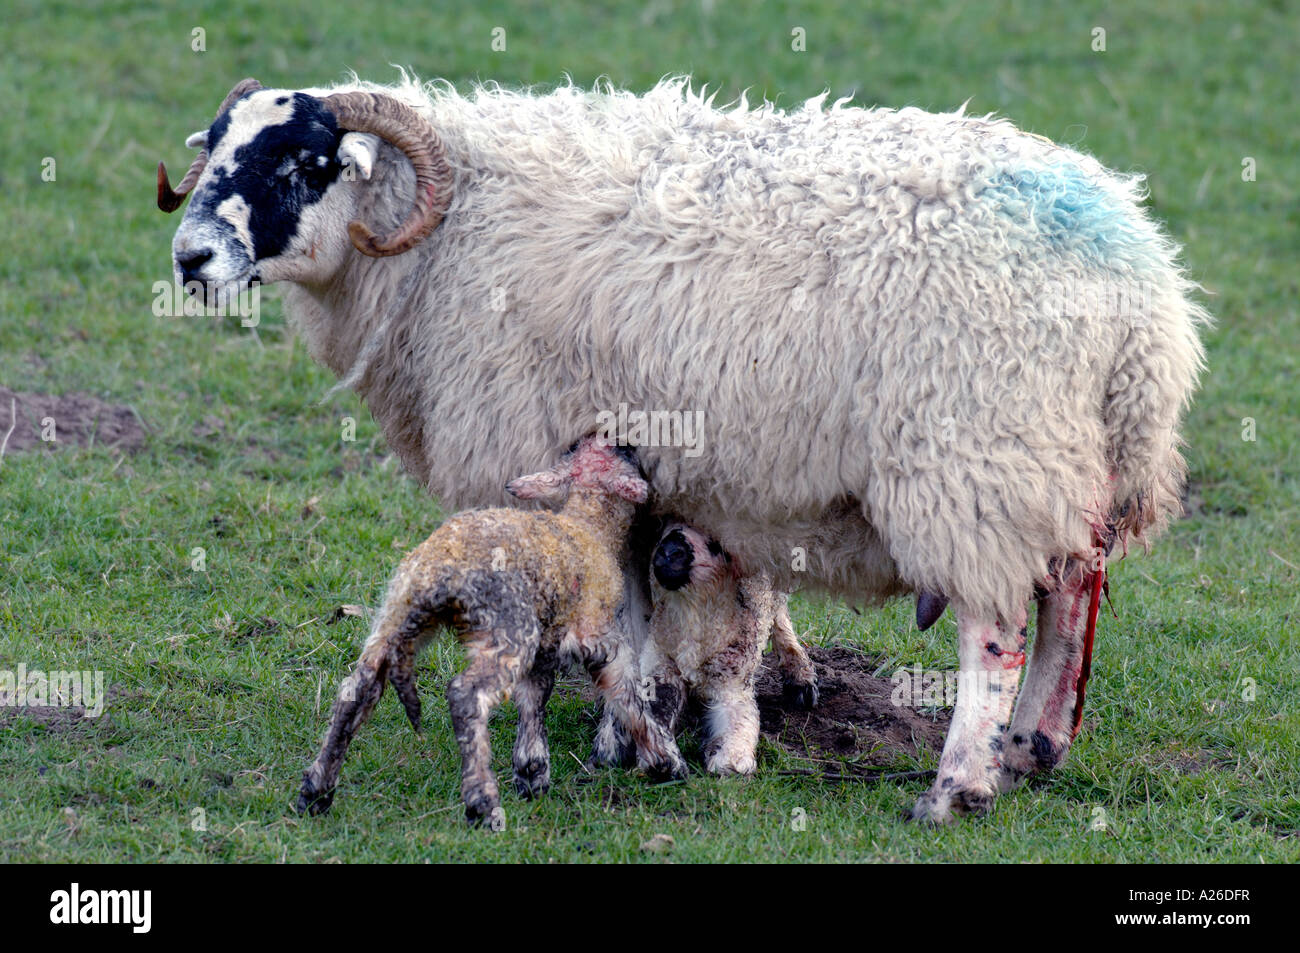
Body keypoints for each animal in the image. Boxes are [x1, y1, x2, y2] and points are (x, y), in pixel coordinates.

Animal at [296, 436, 686, 826]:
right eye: (627, 453)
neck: (588, 525)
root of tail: (445, 565)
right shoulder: (600, 638)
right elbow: (629, 696)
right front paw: (665, 762)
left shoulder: (545, 645)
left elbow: (534, 699)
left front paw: (531, 773)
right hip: (506, 627)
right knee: (467, 696)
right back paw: (482, 801)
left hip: (396, 613)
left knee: (356, 690)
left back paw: (316, 791)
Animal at [644, 522, 817, 775]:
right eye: (663, 529)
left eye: (716, 544)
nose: (669, 551)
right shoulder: (660, 659)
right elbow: (654, 703)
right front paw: (661, 757)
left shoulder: (733, 679)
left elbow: (740, 717)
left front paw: (730, 761)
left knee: (779, 612)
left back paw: (801, 678)